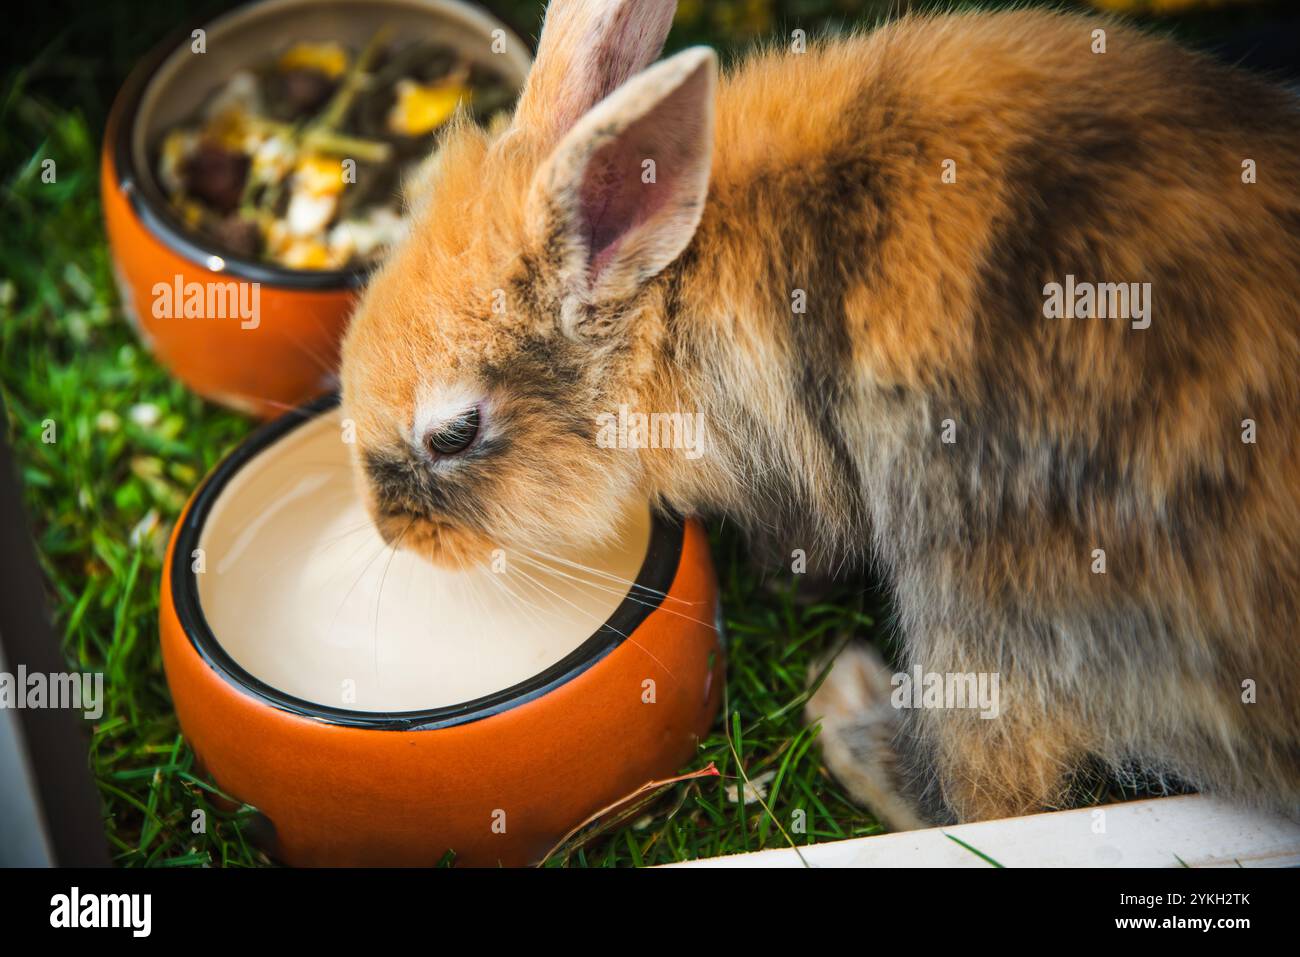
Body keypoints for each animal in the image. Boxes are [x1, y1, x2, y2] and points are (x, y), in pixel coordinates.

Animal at [340, 0, 1300, 828]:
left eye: (454, 433)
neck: (666, 301)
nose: (387, 531)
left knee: (989, 789)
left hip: (982, 586)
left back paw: (846, 705)